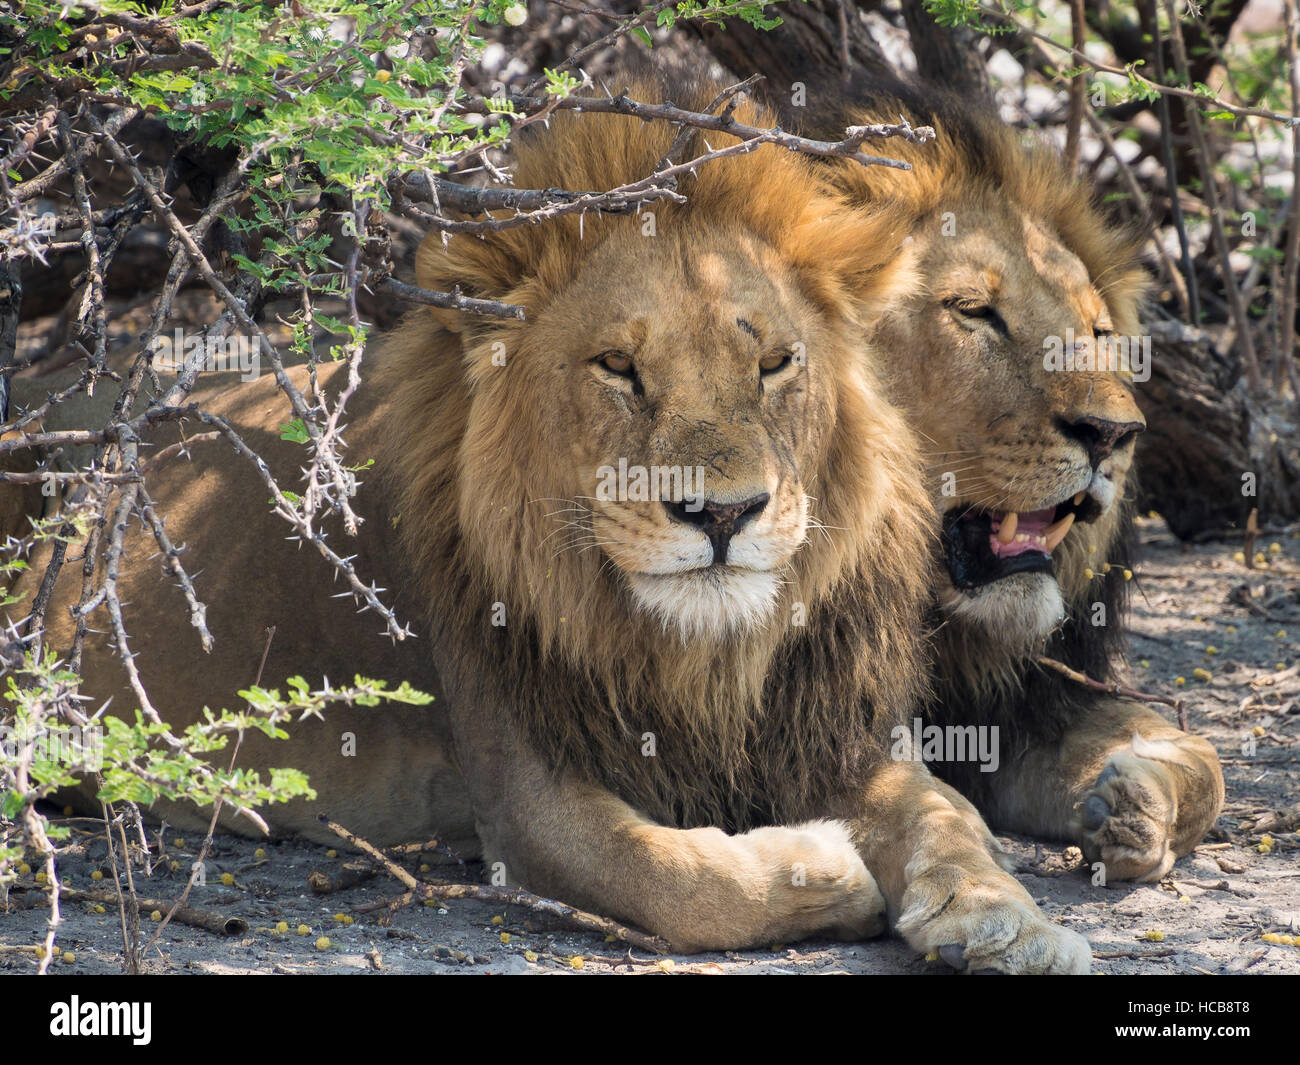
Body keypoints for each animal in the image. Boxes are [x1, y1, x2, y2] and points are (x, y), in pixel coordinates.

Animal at [6, 77, 1089, 969]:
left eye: (776, 364)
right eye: (617, 368)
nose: (724, 513)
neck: (703, 655)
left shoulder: (834, 731)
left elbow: (948, 811)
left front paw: (1006, 915)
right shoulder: (526, 790)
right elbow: (679, 879)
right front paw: (821, 862)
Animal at [813, 74, 1224, 883]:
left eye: (1099, 332)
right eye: (973, 312)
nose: (1114, 434)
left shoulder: (1021, 703)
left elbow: (1204, 756)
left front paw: (1132, 803)